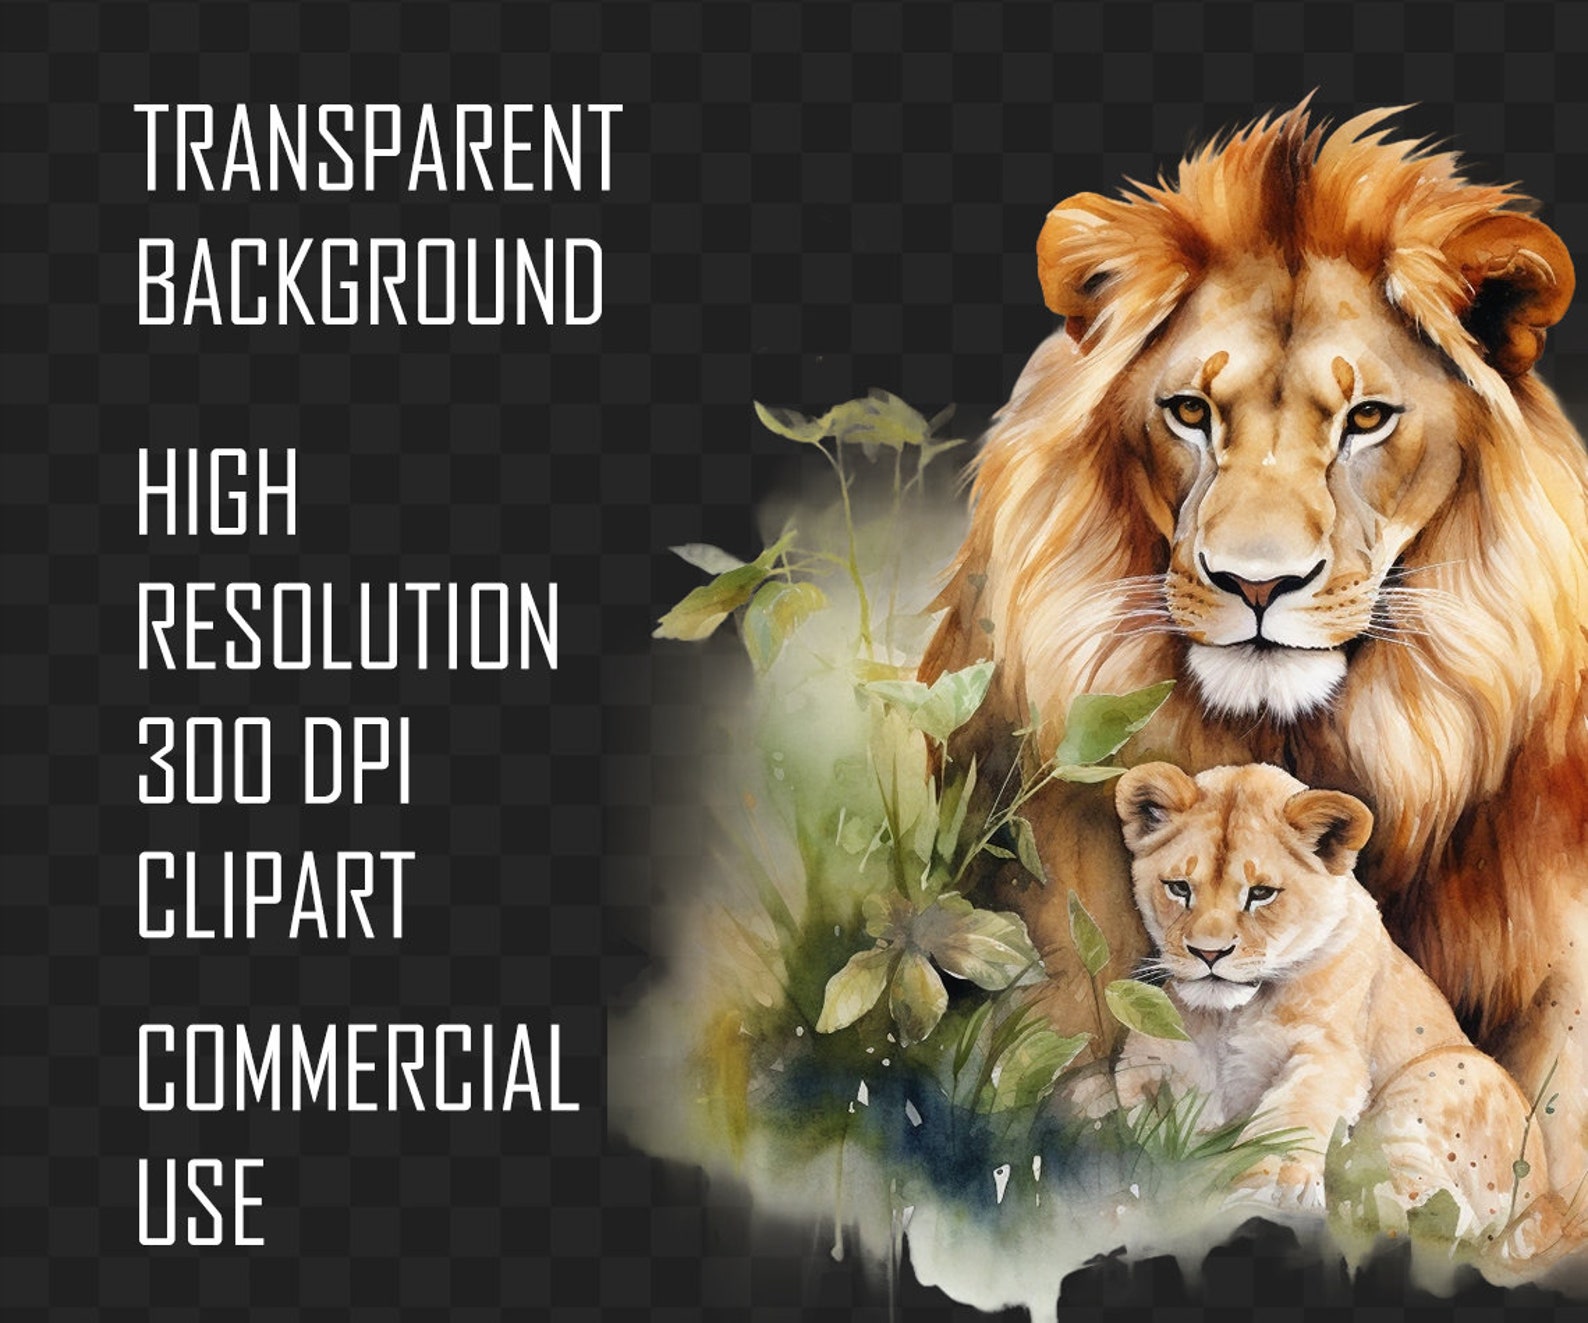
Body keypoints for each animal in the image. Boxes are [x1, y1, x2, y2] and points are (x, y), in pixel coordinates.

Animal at [1110, 761, 1558, 1255]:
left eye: (1261, 894)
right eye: (1179, 888)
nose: (1209, 954)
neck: (1232, 1014)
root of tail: (1545, 1201)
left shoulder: (1332, 1052)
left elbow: (1289, 1116)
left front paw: (1273, 1183)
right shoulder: (1147, 1057)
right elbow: (1137, 1109)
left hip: (1438, 1080)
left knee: (1447, 1217)